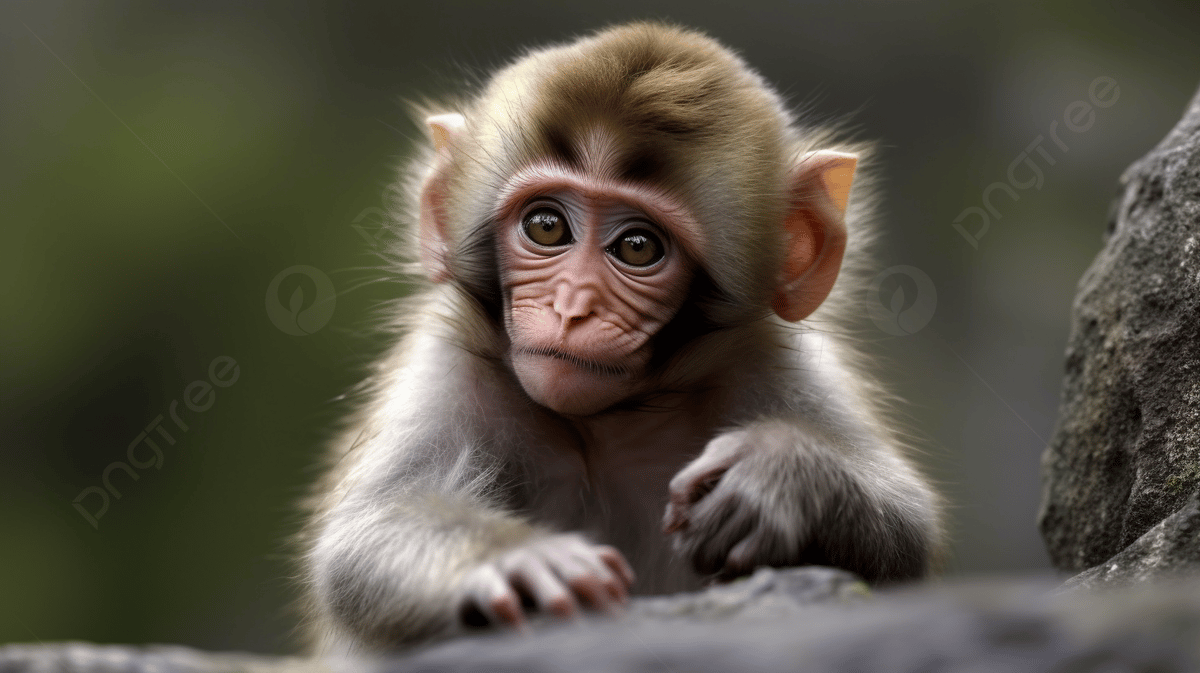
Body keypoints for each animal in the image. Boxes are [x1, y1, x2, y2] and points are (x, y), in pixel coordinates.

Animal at [299, 22, 943, 654]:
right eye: (546, 226)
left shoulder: (772, 360)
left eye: (638, 247)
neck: (606, 422)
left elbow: (908, 532)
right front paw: (517, 560)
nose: (571, 307)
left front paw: (779, 476)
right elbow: (364, 535)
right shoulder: (450, 365)